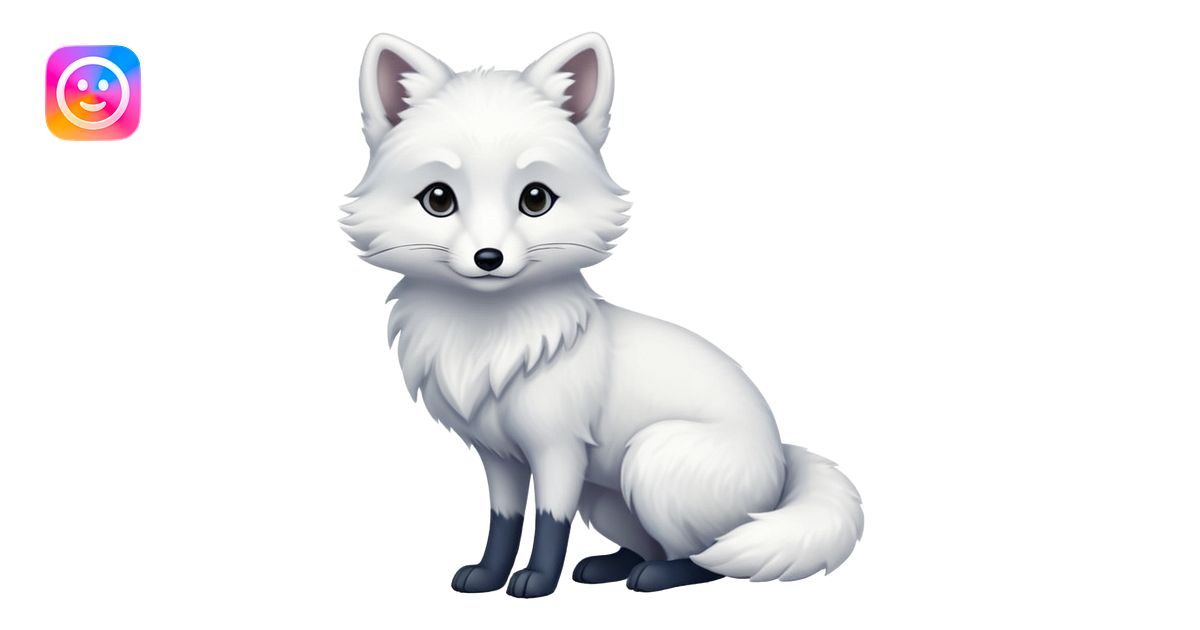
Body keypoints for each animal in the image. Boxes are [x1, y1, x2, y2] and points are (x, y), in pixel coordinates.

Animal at [341, 32, 863, 598]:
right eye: (438, 198)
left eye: (535, 199)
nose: (488, 258)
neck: (485, 337)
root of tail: (781, 466)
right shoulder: (500, 456)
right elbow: (504, 521)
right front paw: (488, 575)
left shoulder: (558, 448)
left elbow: (550, 521)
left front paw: (536, 582)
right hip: (605, 497)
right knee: (649, 544)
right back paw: (608, 566)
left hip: (650, 459)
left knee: (709, 557)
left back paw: (655, 576)